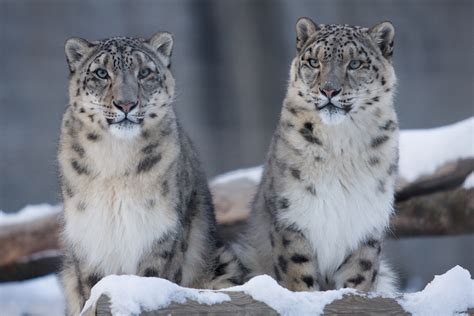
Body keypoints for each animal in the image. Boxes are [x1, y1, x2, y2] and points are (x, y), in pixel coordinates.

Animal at [57, 32, 244, 314]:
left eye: (144, 72)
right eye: (101, 73)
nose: (126, 103)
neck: (115, 160)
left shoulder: (162, 233)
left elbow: (153, 277)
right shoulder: (90, 234)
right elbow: (91, 289)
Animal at [234, 17, 400, 294]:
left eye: (355, 63)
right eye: (313, 61)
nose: (329, 90)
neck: (341, 146)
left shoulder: (367, 222)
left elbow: (360, 275)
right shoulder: (291, 216)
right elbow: (298, 272)